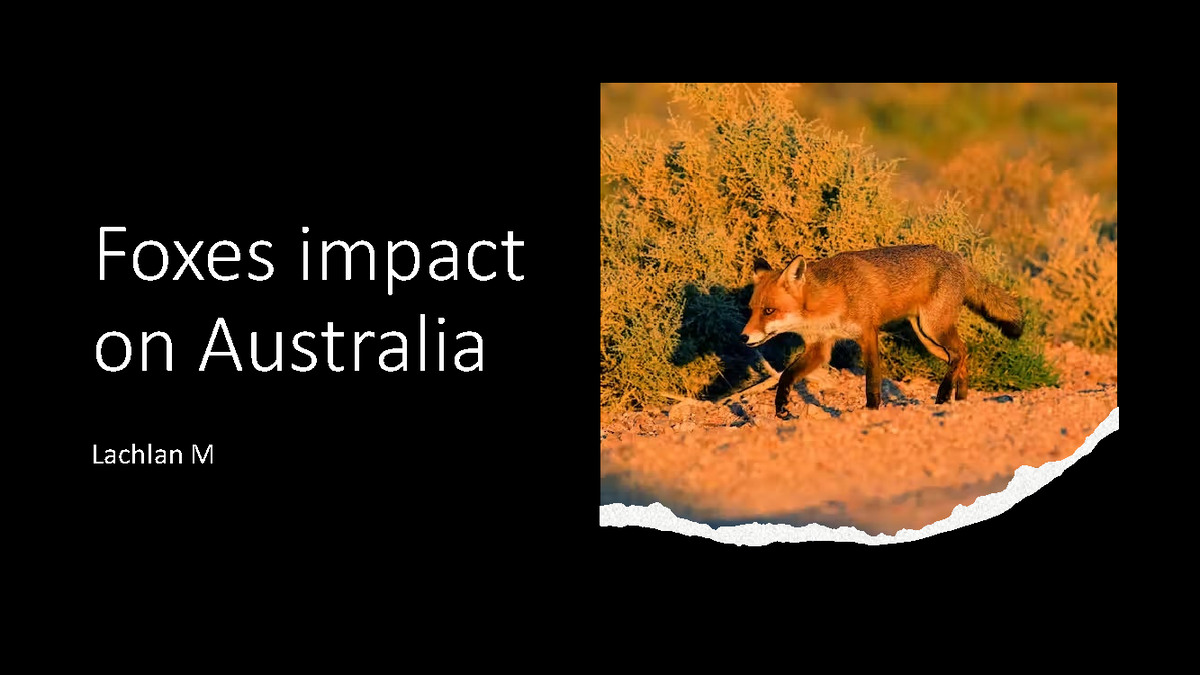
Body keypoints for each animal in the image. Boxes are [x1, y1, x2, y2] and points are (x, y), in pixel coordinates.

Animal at [740, 244, 1024, 417]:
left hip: (935, 329)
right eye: (751, 309)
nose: (743, 337)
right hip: (928, 337)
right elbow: (786, 375)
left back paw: (944, 395)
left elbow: (872, 380)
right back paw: (960, 399)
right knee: (961, 357)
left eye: (769, 311)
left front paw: (872, 409)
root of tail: (957, 258)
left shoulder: (867, 334)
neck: (826, 304)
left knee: (961, 353)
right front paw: (781, 406)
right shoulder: (819, 348)